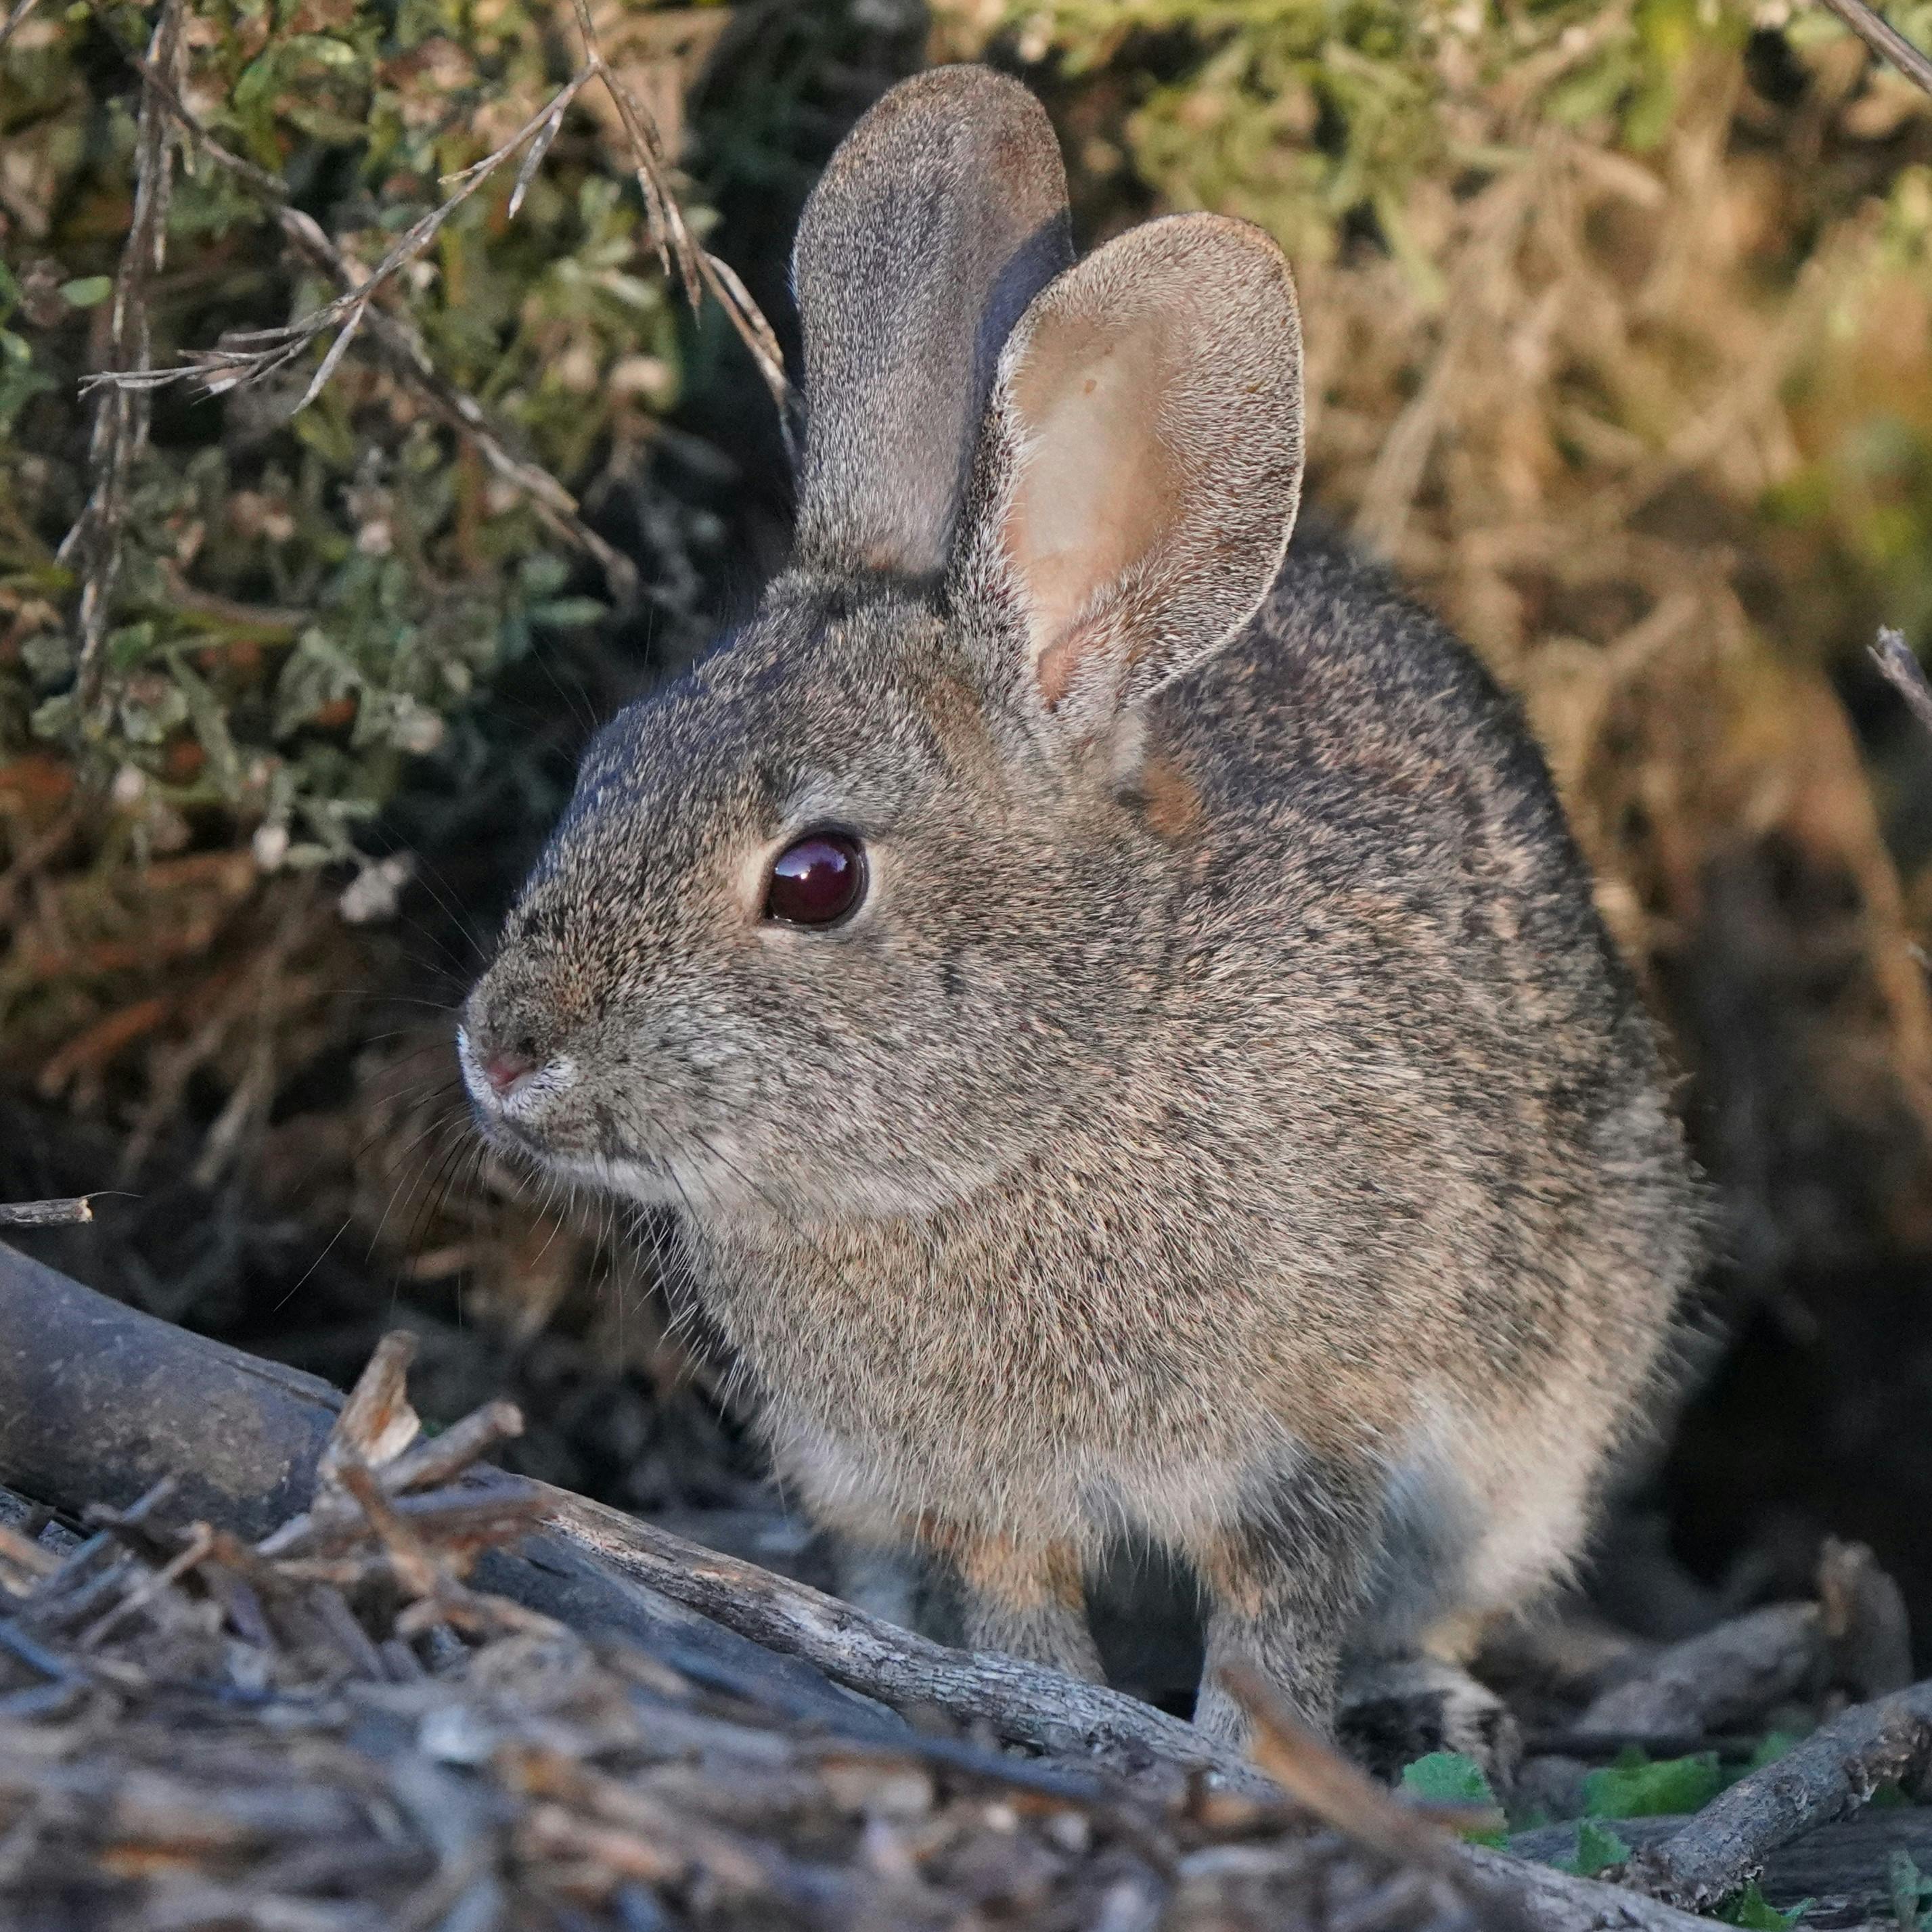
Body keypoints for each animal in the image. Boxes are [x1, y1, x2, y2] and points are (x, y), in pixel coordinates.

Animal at [459, 63, 1702, 1747]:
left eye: (815, 877)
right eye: (606, 759)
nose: (502, 1052)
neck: (1044, 1101)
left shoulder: (1313, 1443)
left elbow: (1275, 1623)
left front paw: (1240, 1759)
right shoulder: (987, 1502)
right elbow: (1022, 1619)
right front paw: (1043, 1713)